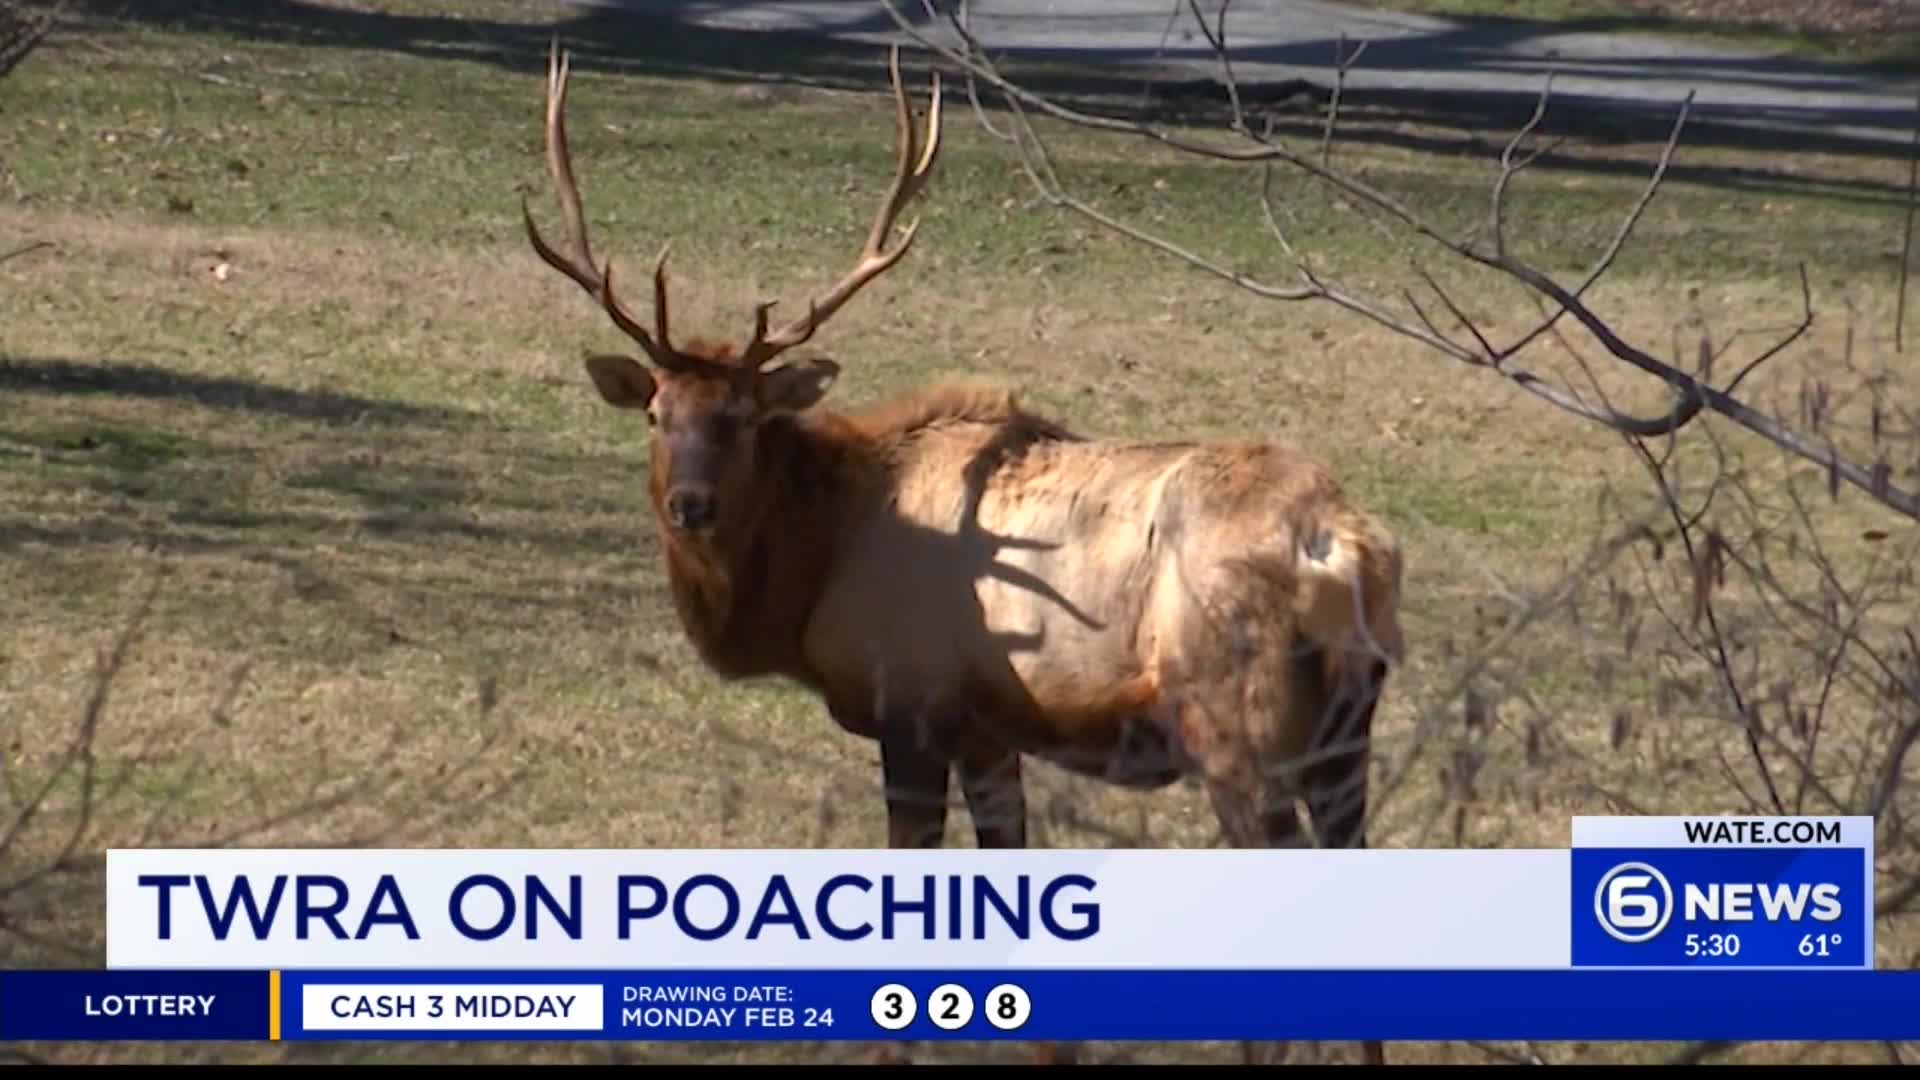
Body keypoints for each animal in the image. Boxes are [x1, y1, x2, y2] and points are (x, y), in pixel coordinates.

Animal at [521, 37, 1404, 1067]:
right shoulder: (990, 727)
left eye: (741, 418)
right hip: (1346, 726)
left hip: (1233, 719)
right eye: (658, 414)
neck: (815, 570)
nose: (690, 505)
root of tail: (1338, 542)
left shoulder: (912, 706)